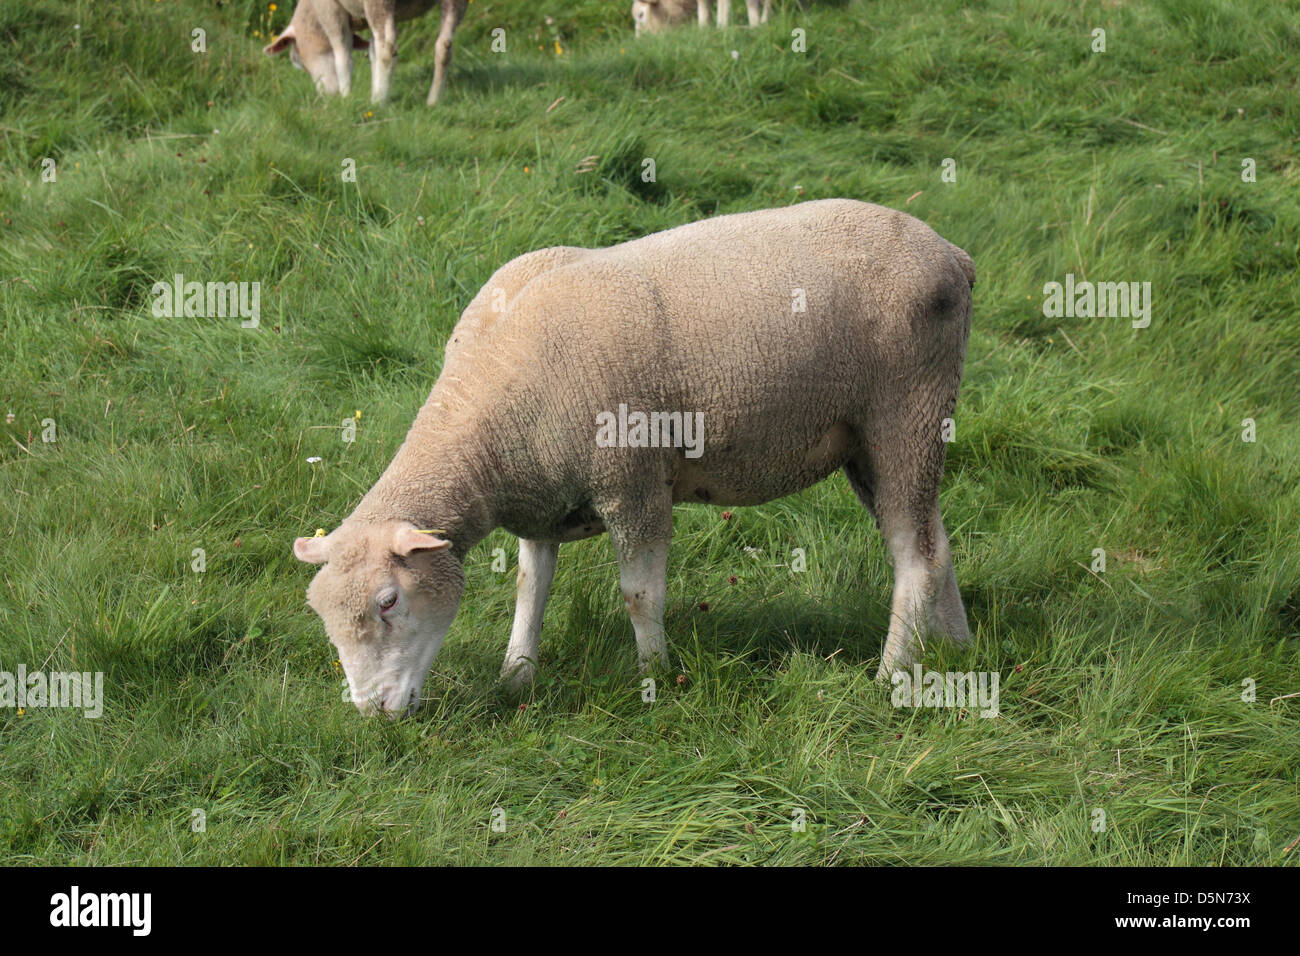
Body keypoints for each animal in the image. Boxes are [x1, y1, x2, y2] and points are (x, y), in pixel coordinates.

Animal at [263, 0, 466, 105]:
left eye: (296, 60)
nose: (326, 96)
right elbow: (373, 52)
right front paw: (374, 87)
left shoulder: (330, 8)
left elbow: (342, 54)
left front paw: (346, 97)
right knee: (444, 46)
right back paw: (433, 101)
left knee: (387, 49)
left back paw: (378, 103)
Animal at [293, 198, 975, 716]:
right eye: (321, 613)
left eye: (388, 601)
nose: (374, 713)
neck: (489, 416)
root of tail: (952, 254)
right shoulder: (542, 498)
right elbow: (529, 589)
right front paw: (517, 674)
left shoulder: (633, 482)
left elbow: (639, 595)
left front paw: (657, 676)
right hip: (879, 438)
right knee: (934, 542)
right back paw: (957, 649)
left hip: (904, 412)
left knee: (914, 557)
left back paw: (891, 675)